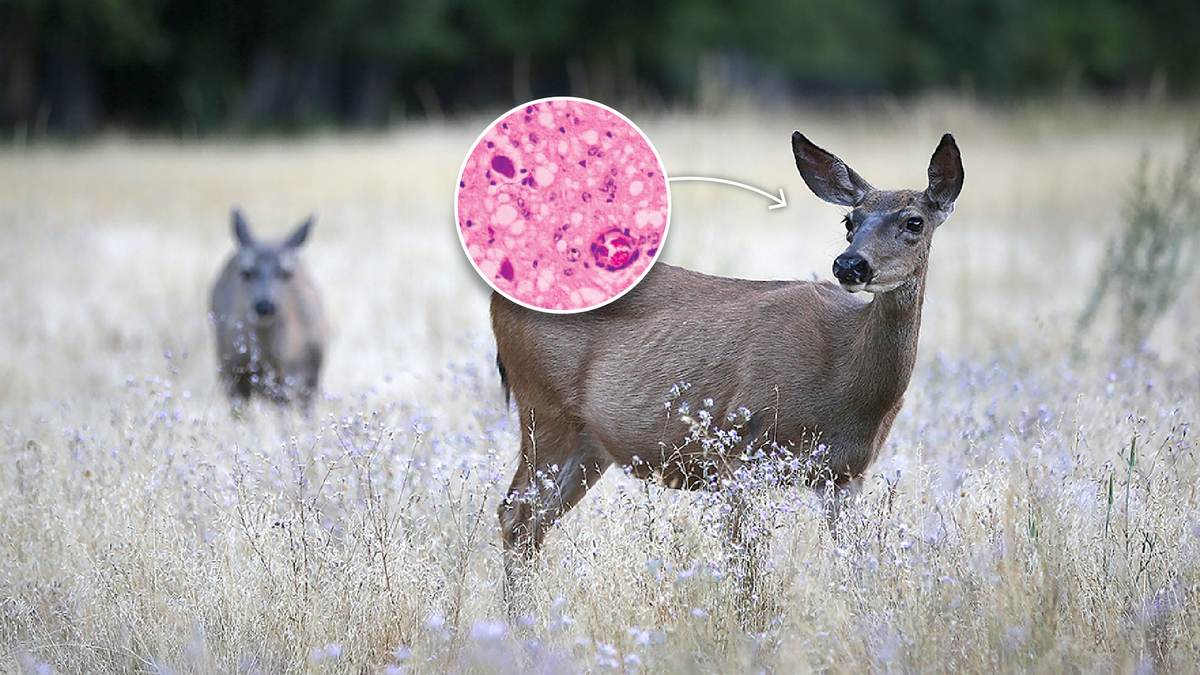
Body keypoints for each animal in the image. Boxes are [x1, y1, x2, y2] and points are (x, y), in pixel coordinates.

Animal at [490, 132, 964, 609]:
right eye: (850, 220)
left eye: (915, 222)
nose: (850, 264)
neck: (845, 378)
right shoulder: (737, 450)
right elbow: (747, 574)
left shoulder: (845, 474)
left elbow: (856, 560)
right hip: (543, 407)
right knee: (514, 514)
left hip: (589, 443)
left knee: (534, 522)